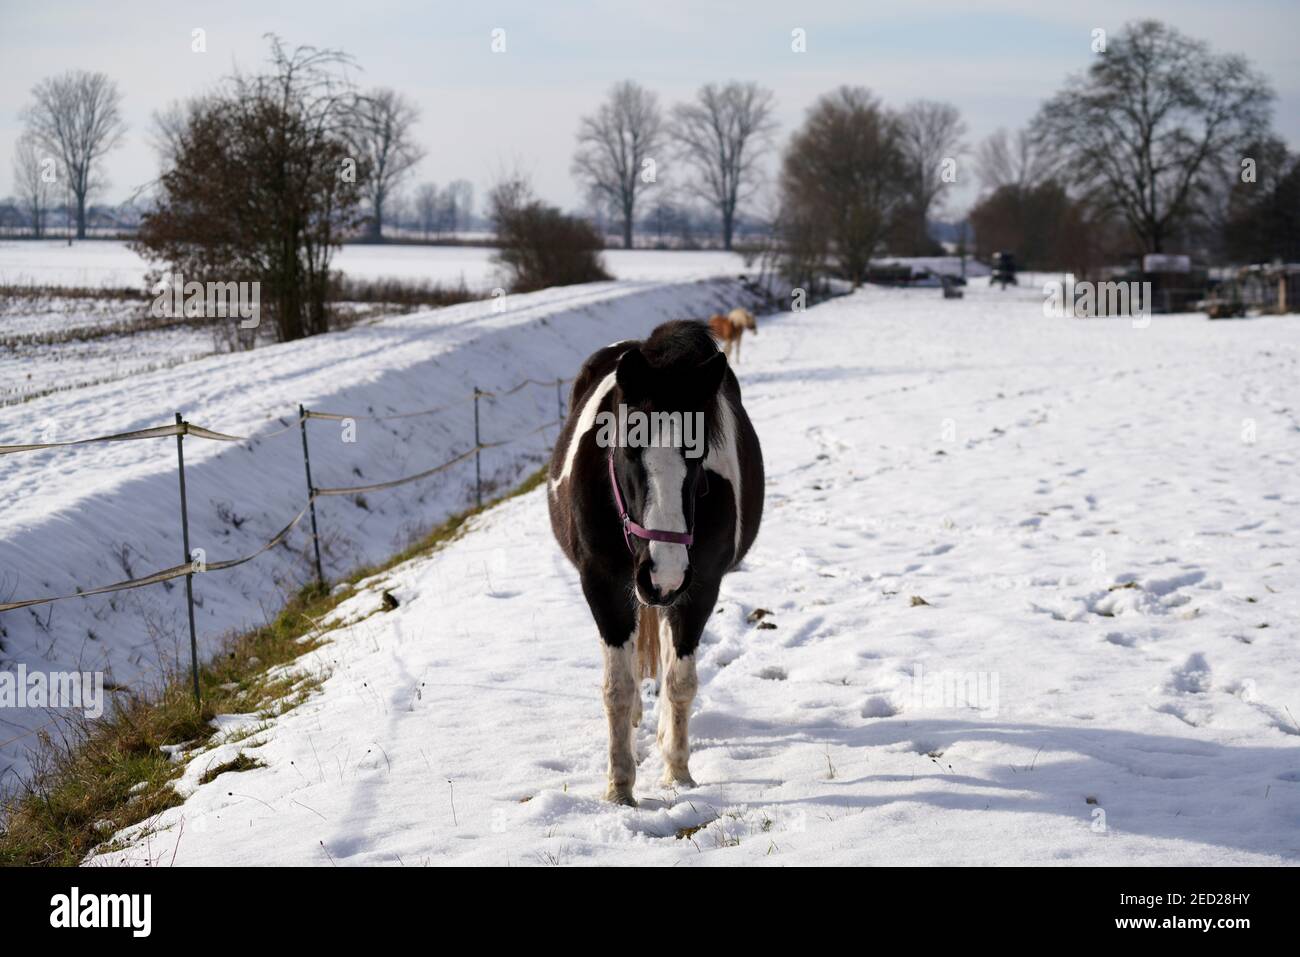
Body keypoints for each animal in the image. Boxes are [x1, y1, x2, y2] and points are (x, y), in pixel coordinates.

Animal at [547, 321, 764, 805]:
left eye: (698, 453)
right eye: (628, 448)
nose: (662, 572)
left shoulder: (699, 588)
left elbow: (680, 682)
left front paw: (677, 774)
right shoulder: (602, 584)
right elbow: (617, 687)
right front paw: (619, 789)